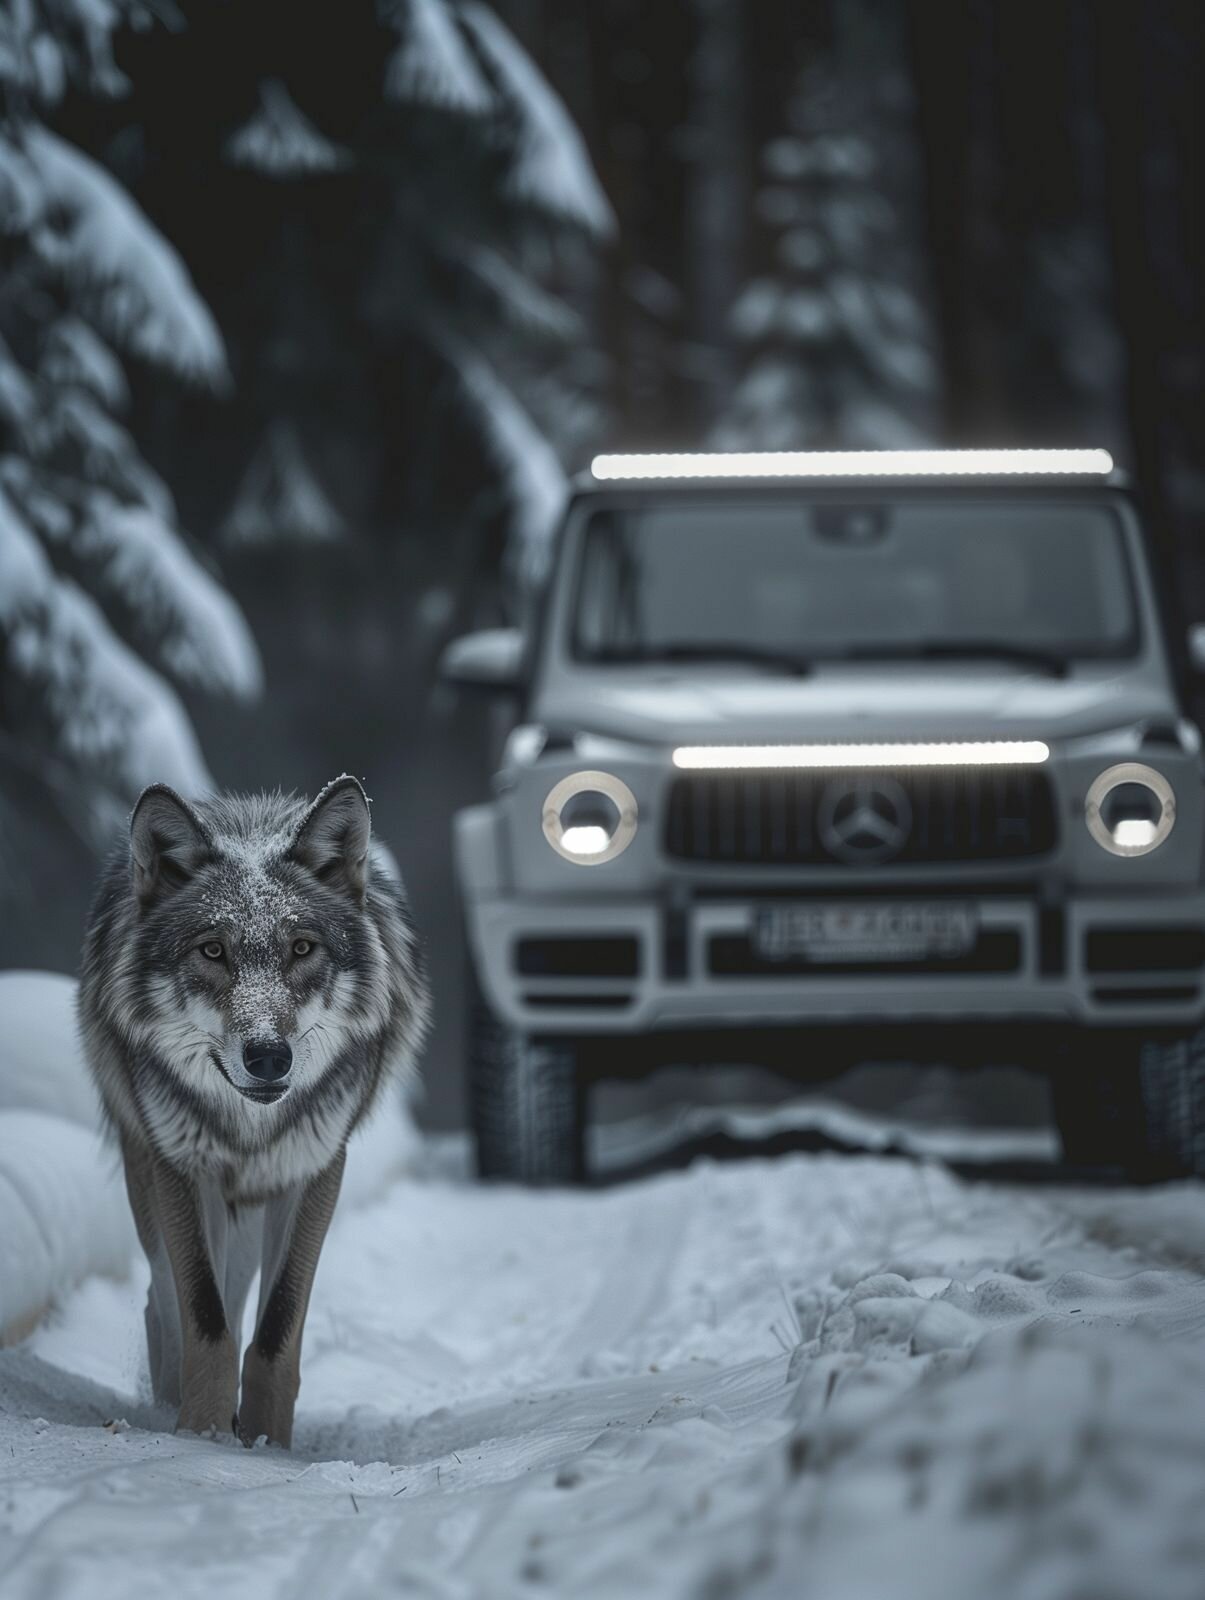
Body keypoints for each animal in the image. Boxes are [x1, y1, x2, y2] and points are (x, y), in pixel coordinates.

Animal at [79, 775, 429, 1447]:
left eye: (302, 947)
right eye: (213, 950)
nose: (269, 1056)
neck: (252, 1126)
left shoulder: (316, 1171)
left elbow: (276, 1330)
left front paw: (267, 1443)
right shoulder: (180, 1167)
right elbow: (203, 1314)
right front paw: (202, 1434)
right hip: (156, 1174)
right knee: (165, 1296)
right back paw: (170, 1398)